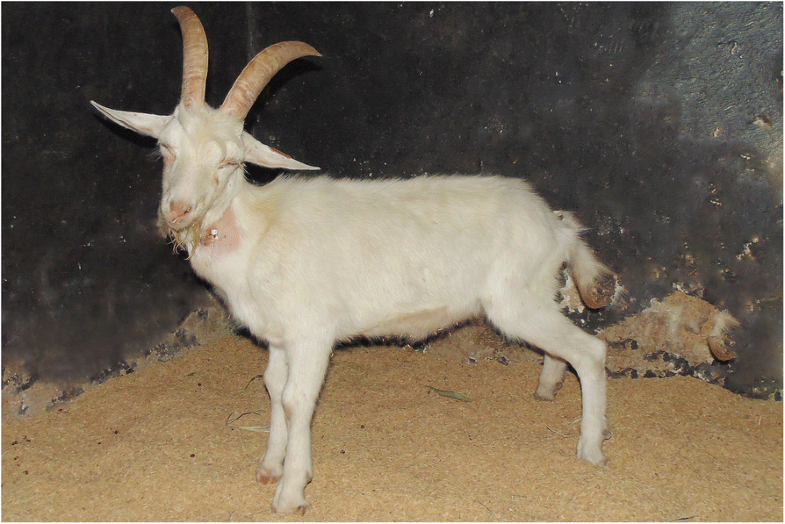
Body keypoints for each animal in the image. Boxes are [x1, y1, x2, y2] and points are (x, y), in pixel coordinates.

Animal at [92, 6, 615, 514]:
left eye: (229, 161)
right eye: (166, 147)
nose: (177, 209)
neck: (260, 232)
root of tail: (556, 224)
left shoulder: (312, 331)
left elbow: (297, 399)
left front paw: (292, 491)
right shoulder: (278, 336)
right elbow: (272, 387)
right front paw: (269, 467)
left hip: (515, 300)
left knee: (590, 351)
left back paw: (590, 448)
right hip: (535, 295)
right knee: (562, 349)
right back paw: (548, 390)